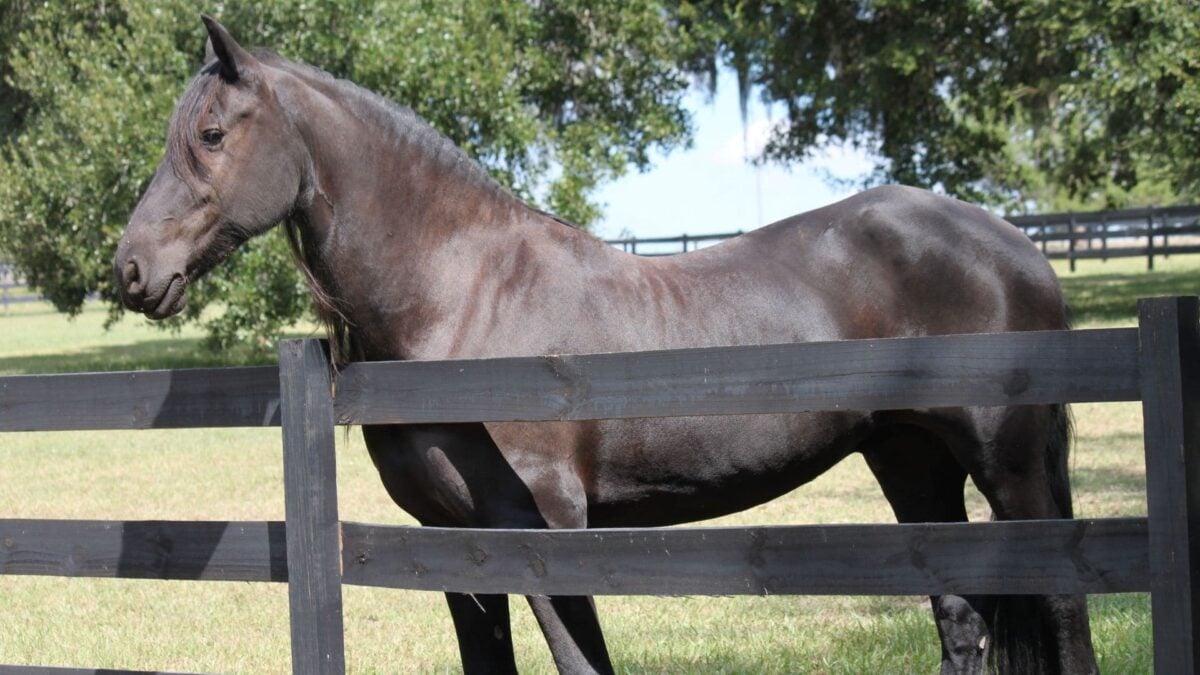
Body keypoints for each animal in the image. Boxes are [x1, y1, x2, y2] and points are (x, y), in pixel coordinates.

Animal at [113, 16, 1098, 675]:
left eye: (210, 135)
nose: (130, 269)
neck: (460, 299)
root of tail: (1015, 244)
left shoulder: (548, 527)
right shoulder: (451, 544)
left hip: (1010, 469)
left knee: (1063, 605)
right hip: (912, 463)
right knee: (961, 616)